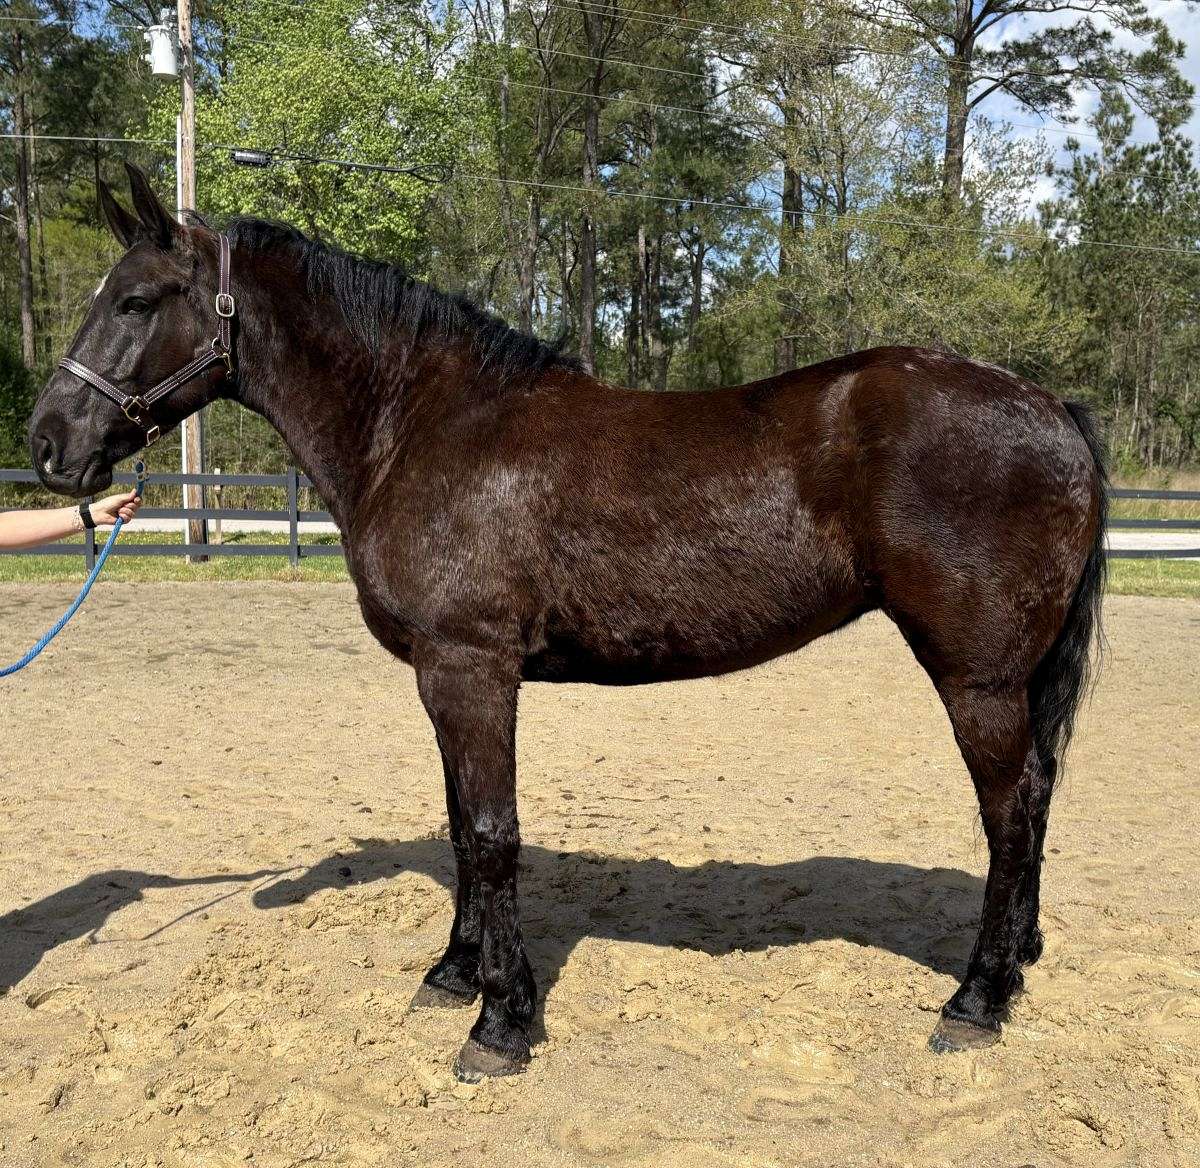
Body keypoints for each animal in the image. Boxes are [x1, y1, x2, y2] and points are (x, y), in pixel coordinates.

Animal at [28, 164, 1107, 1081]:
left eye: (134, 301)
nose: (48, 445)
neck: (423, 425)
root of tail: (1049, 405)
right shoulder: (442, 676)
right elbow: (461, 826)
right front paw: (452, 975)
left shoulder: (470, 667)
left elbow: (493, 832)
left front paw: (501, 1023)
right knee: (1041, 793)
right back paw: (1017, 960)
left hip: (975, 677)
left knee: (1013, 810)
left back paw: (975, 1000)